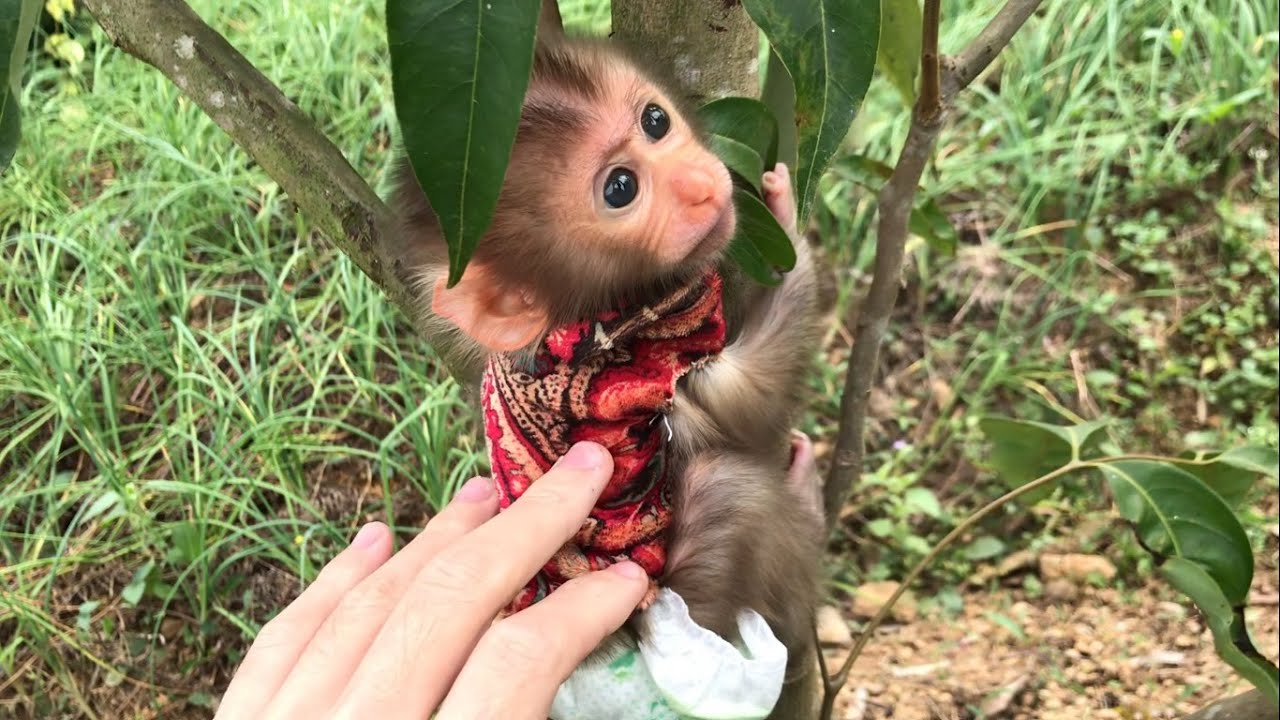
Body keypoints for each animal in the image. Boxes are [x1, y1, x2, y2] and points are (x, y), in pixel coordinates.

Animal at [391, 37, 824, 719]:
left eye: (655, 121)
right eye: (621, 188)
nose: (702, 185)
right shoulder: (650, 367)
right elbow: (753, 402)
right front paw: (789, 228)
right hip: (688, 594)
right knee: (729, 491)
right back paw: (806, 504)